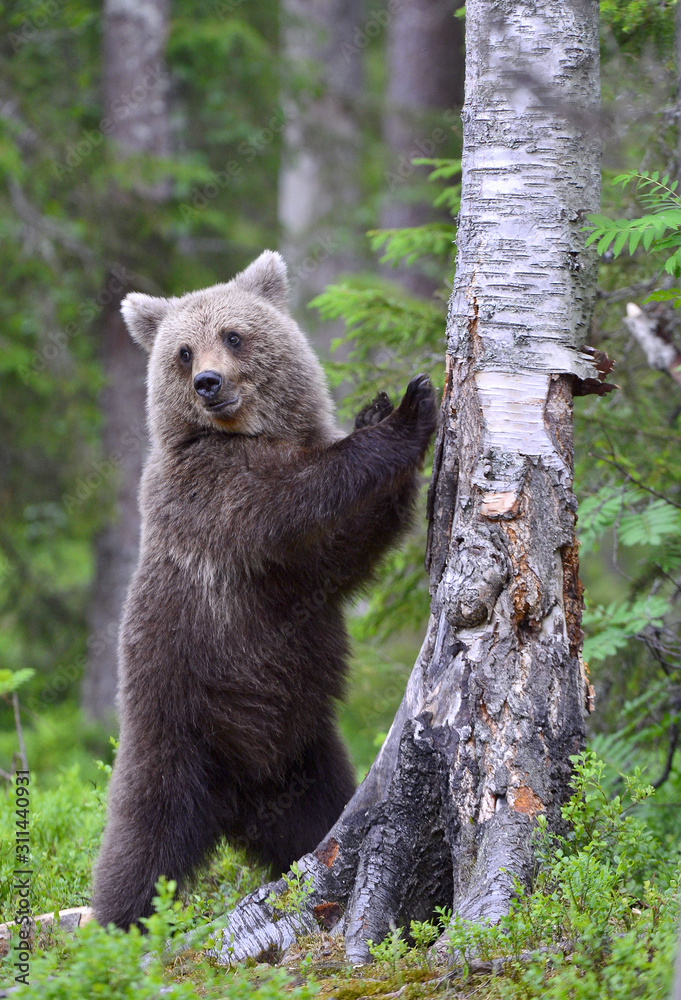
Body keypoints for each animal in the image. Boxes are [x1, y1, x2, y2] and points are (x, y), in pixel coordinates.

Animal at [91, 249, 438, 930]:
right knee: (141, 842)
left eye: (233, 335)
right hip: (175, 727)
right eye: (183, 352)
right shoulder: (210, 496)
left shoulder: (301, 577)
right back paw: (115, 924)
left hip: (304, 756)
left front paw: (376, 407)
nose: (208, 383)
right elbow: (292, 496)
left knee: (318, 820)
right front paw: (407, 412)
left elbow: (344, 550)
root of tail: (235, 808)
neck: (243, 431)